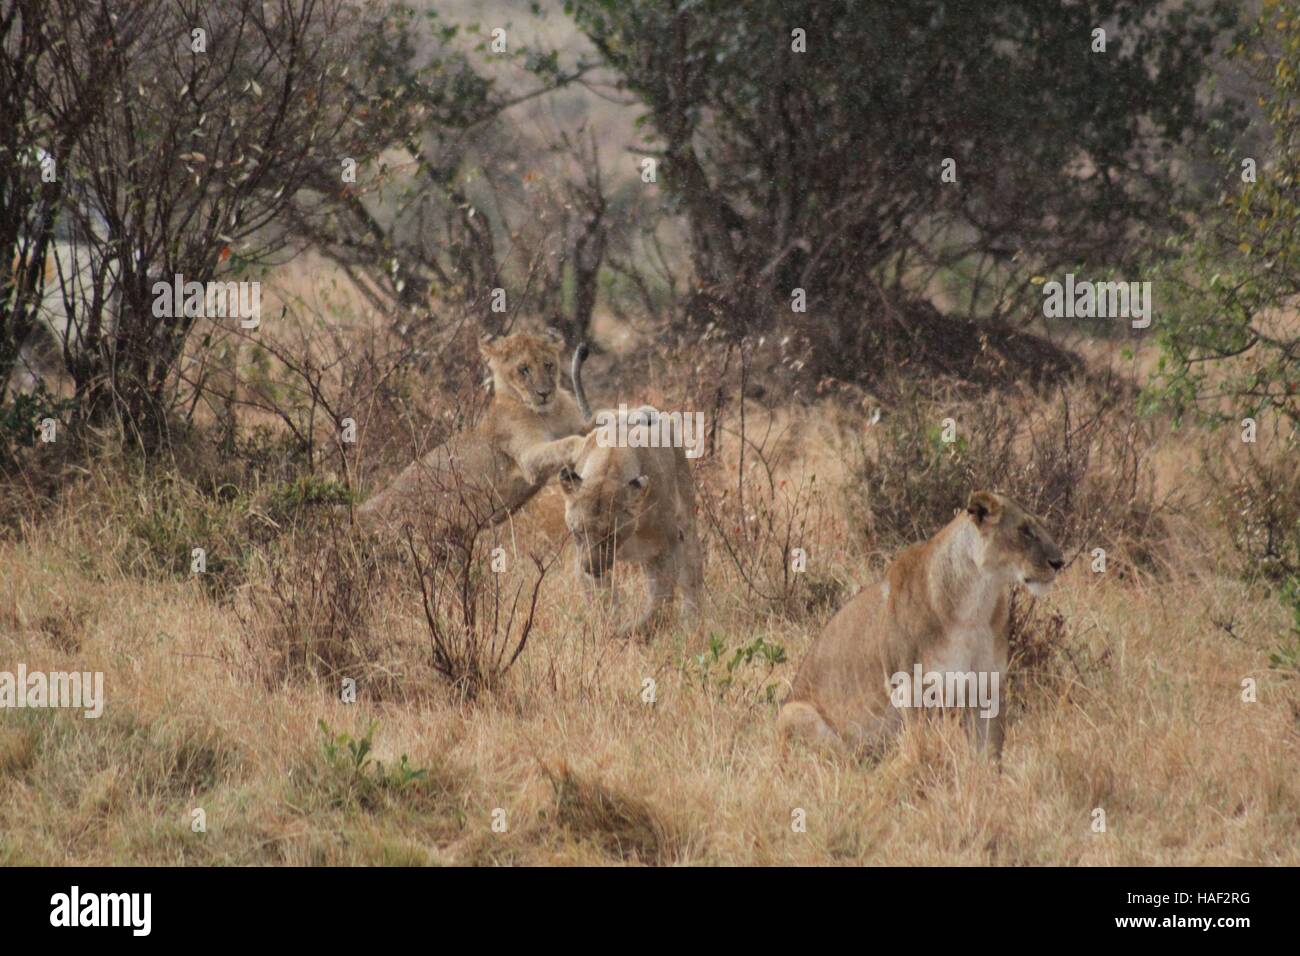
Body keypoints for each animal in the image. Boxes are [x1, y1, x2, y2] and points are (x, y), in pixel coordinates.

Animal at [355, 329, 590, 533]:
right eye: (524, 369)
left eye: (548, 365)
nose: (544, 393)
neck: (549, 413)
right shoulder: (526, 457)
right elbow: (564, 443)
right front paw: (582, 444)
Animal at [777, 491, 1064, 760]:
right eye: (1024, 530)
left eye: (1042, 526)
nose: (1059, 562)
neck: (977, 602)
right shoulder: (911, 687)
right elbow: (922, 743)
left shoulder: (988, 685)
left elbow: (990, 754)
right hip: (794, 713)